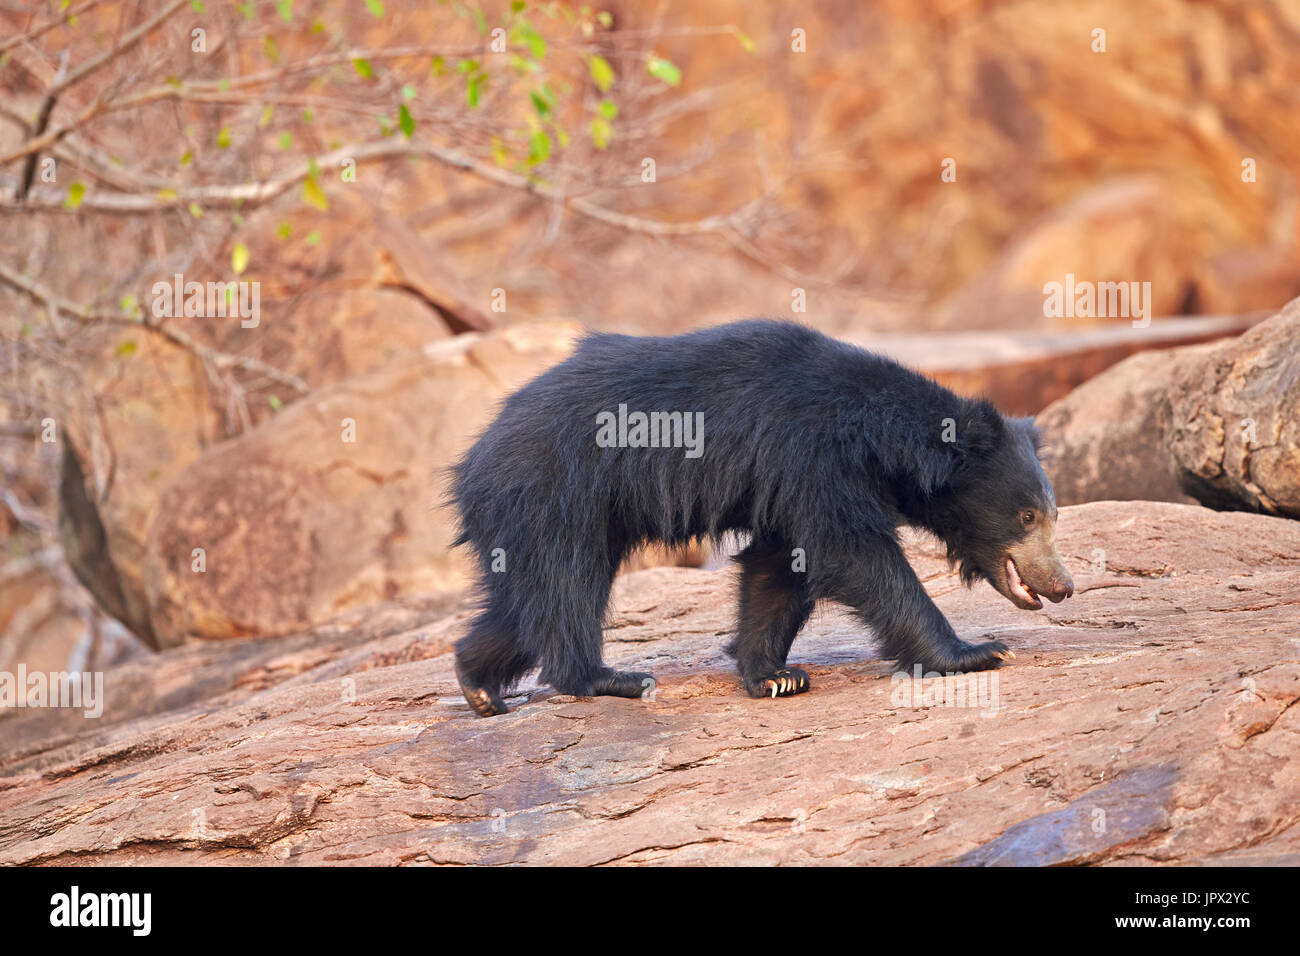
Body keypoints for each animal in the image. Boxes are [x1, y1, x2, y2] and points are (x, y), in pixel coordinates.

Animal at [450, 319, 1073, 717]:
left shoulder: (783, 483)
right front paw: (978, 651)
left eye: (1052, 514)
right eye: (1026, 516)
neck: (876, 435)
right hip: (554, 489)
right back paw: (606, 679)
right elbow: (849, 551)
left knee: (526, 601)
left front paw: (775, 675)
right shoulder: (808, 453)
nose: (1063, 585)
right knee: (566, 585)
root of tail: (473, 455)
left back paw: (478, 685)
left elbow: (779, 567)